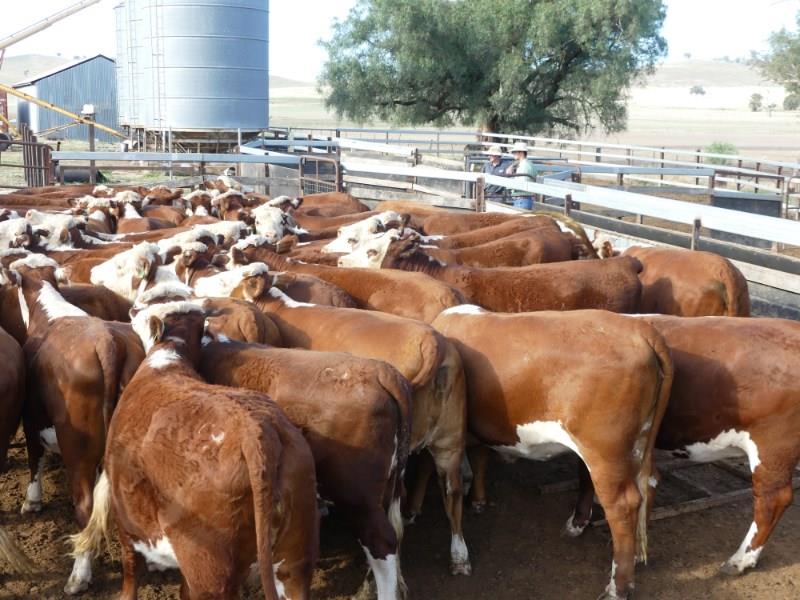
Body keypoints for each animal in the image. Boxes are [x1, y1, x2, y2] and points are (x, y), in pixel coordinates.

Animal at [8, 253, 144, 594]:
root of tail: (109, 343)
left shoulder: (31, 416)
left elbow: (35, 457)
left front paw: (32, 501)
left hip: (76, 448)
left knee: (84, 505)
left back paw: (78, 577)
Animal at [70, 301, 319, 599]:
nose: (132, 310)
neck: (167, 362)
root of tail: (259, 433)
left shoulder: (125, 515)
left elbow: (130, 566)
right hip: (295, 559)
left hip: (209, 571)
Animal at [432, 306, 672, 599]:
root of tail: (641, 331)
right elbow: (480, 459)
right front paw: (478, 500)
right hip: (637, 442)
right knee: (648, 481)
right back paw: (630, 551)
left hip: (606, 451)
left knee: (622, 505)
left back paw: (618, 586)